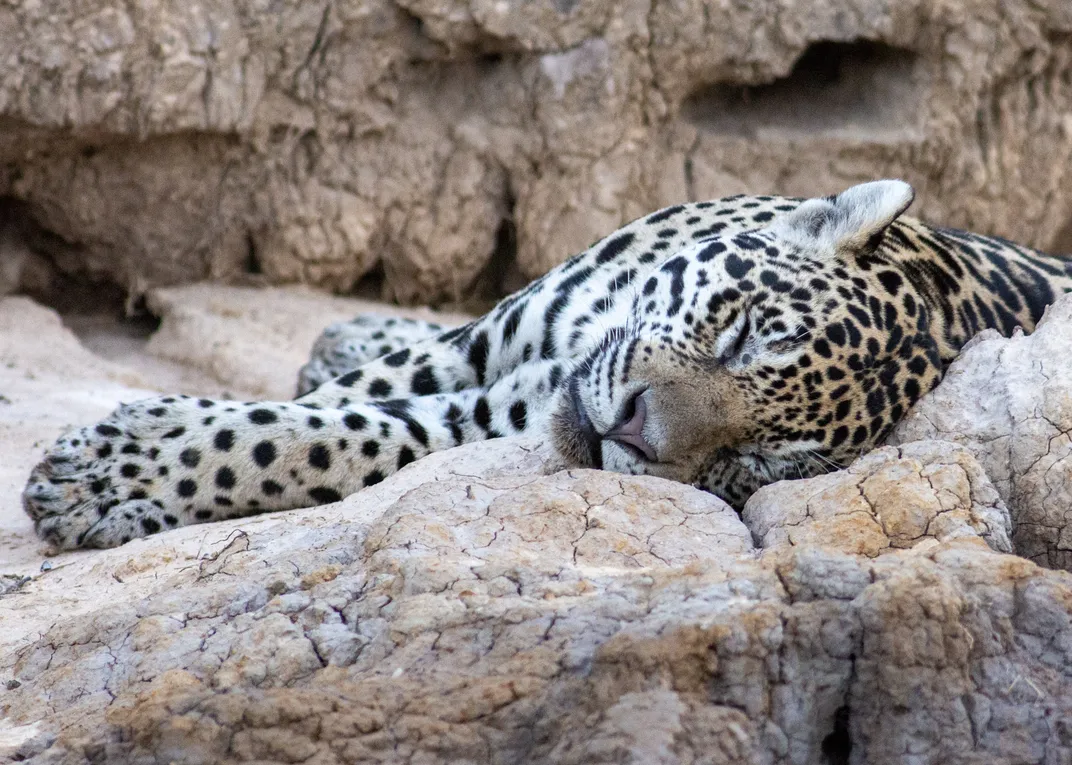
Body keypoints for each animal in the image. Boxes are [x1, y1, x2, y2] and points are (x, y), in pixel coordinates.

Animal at [23, 180, 1072, 550]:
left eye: (750, 464)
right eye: (743, 329)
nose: (636, 427)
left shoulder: (486, 413)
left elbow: (338, 440)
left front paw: (113, 482)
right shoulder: (485, 338)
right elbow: (347, 401)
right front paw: (111, 468)